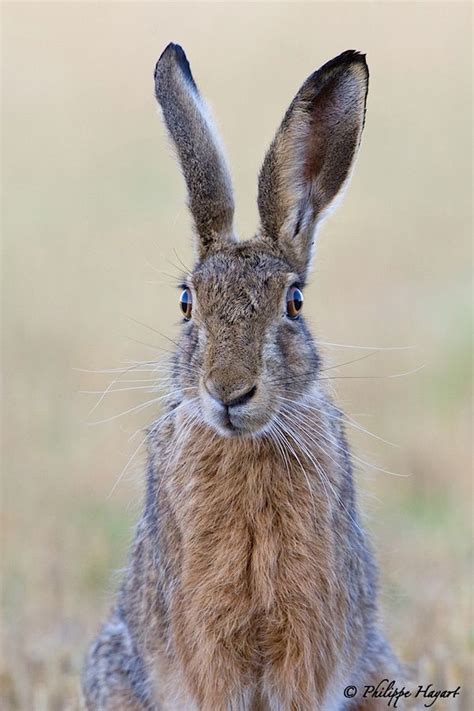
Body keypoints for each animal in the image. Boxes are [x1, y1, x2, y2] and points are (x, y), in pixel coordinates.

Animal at [82, 43, 401, 710]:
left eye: (295, 303)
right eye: (186, 303)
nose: (229, 391)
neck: (248, 446)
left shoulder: (307, 639)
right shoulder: (206, 638)